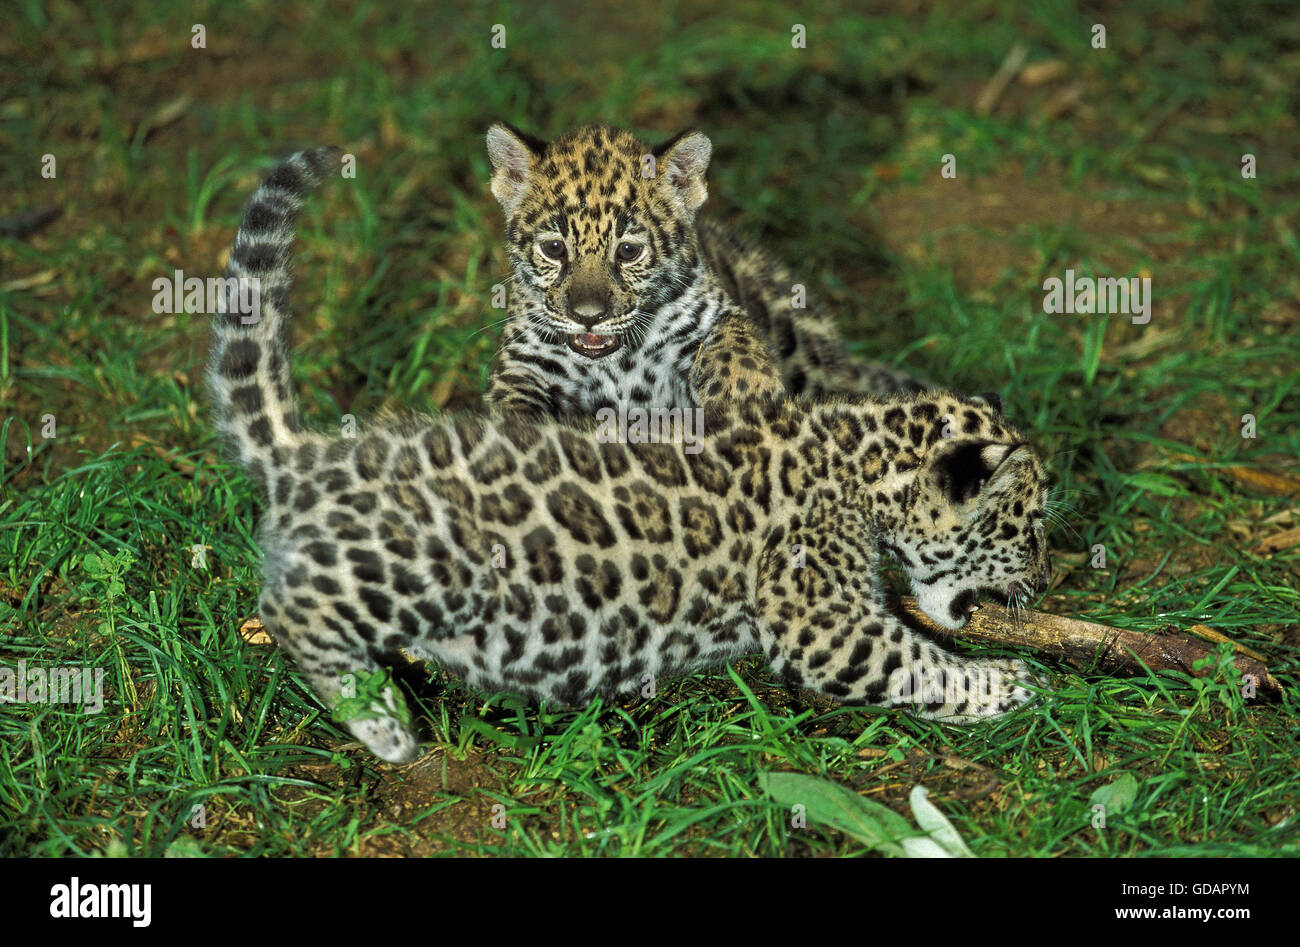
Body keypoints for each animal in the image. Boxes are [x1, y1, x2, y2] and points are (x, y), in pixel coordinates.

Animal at [482, 123, 924, 418]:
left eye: (628, 251)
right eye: (554, 249)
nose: (589, 317)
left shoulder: (717, 310)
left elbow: (736, 339)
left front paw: (739, 397)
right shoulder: (524, 362)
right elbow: (511, 413)